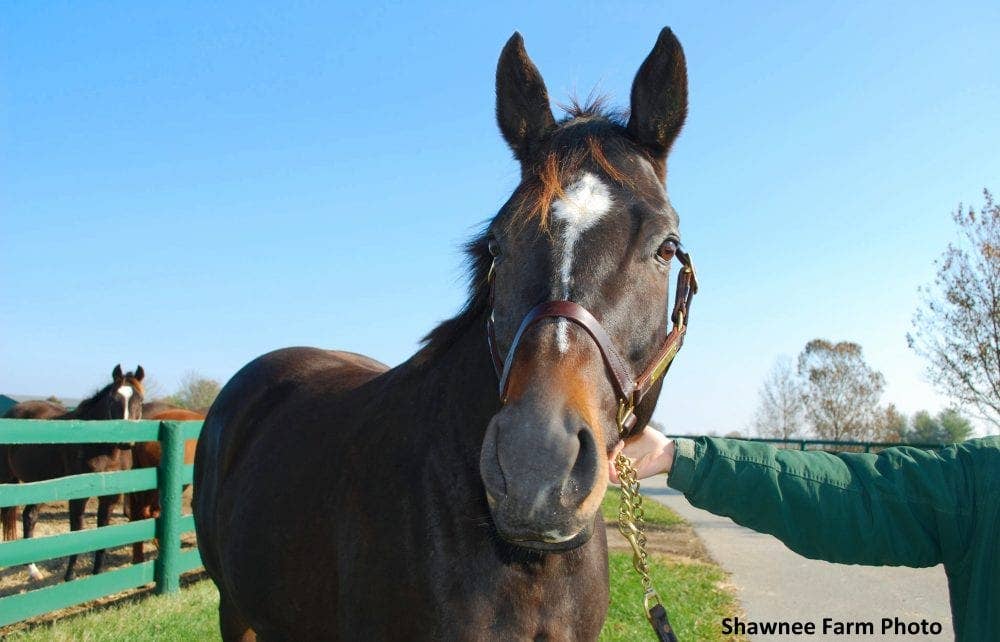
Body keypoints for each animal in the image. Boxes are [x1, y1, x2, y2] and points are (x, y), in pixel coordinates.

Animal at [1, 365, 145, 581]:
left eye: (140, 401)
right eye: (113, 400)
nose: (126, 442)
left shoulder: (110, 497)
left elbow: (103, 532)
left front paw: (98, 573)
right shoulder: (78, 495)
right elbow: (77, 532)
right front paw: (69, 576)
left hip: (41, 484)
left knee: (29, 516)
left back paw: (33, 570)